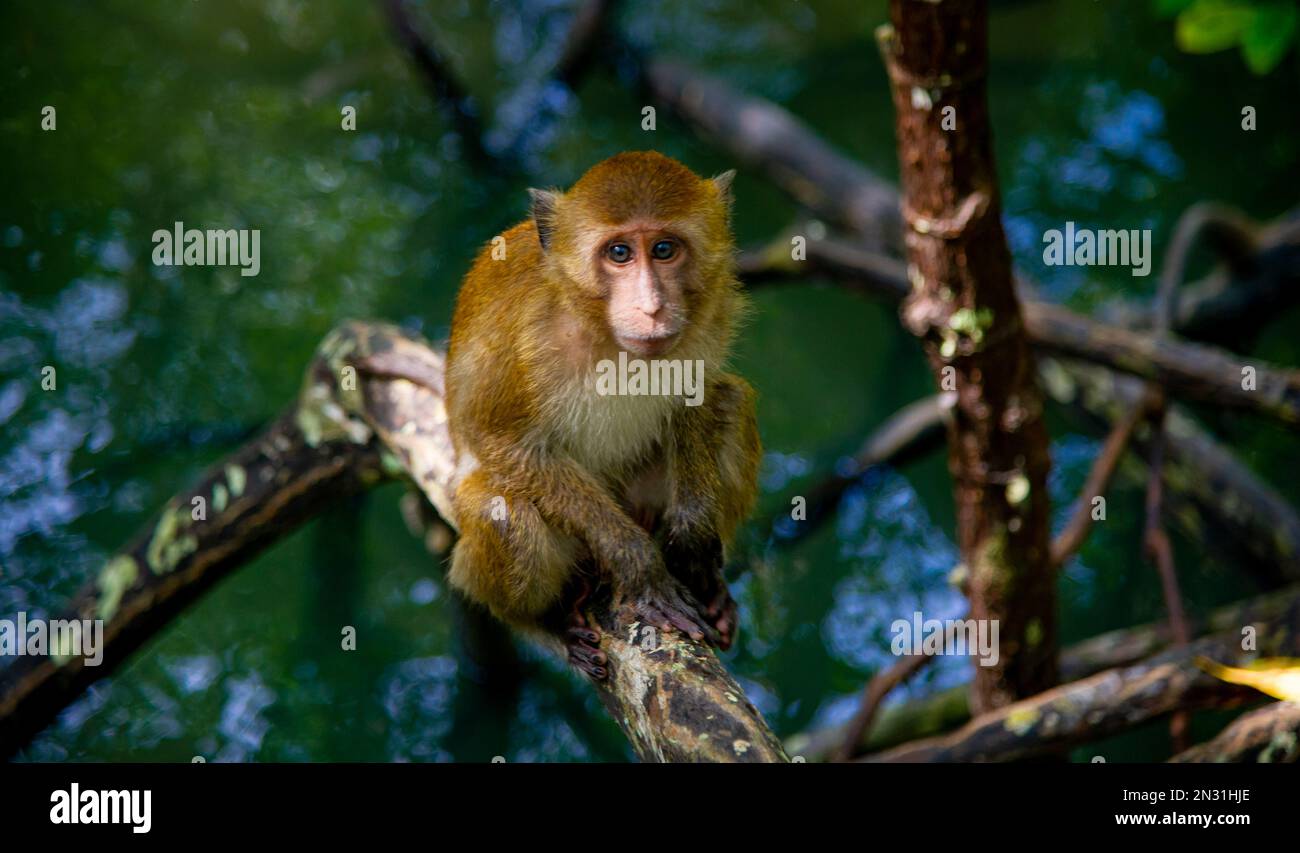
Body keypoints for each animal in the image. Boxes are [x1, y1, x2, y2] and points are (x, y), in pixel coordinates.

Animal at [443, 150, 761, 680]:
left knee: (732, 402)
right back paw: (548, 622)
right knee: (504, 513)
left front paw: (692, 537)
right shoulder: (524, 332)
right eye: (619, 253)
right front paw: (640, 566)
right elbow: (504, 442)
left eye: (664, 249)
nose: (652, 307)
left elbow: (699, 392)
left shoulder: (712, 312)